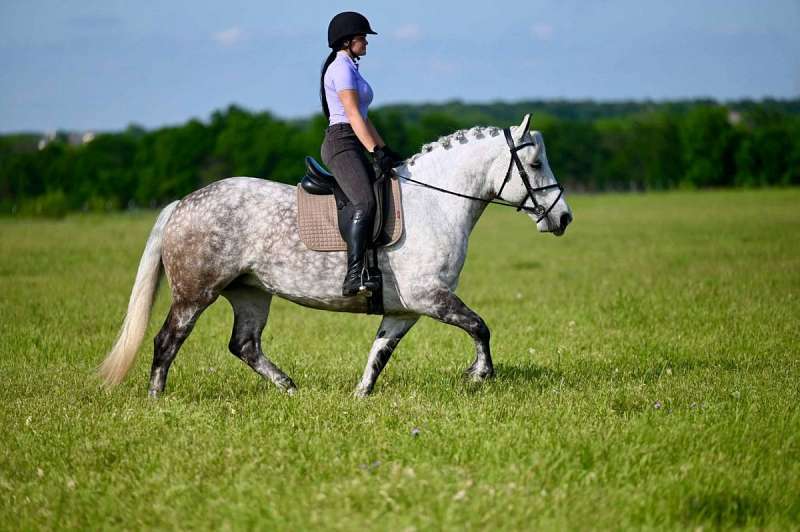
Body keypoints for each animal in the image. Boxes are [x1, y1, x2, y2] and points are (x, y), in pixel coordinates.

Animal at [98, 114, 573, 397]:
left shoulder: (405, 309)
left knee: (244, 345)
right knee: (168, 340)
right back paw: (157, 400)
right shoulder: (430, 298)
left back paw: (290, 389)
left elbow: (380, 352)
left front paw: (361, 395)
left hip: (251, 292)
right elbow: (480, 326)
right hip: (196, 293)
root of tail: (183, 203)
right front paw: (480, 374)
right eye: (534, 164)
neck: (434, 203)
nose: (563, 217)